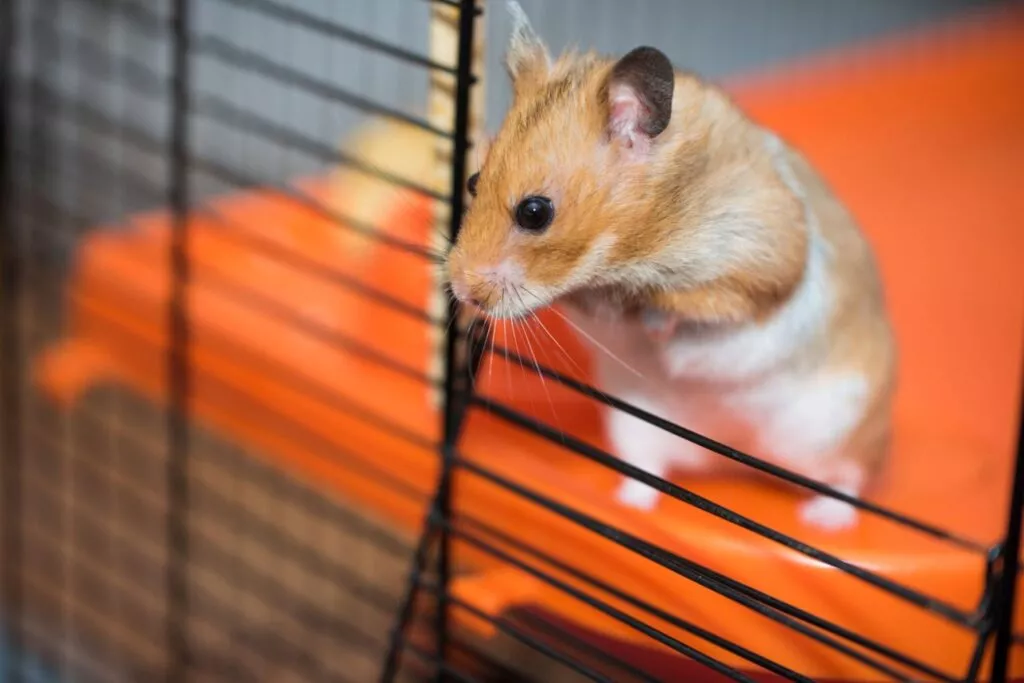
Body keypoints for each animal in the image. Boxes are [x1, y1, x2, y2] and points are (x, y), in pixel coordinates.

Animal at [446, 1, 896, 531]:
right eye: (473, 181)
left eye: (534, 212)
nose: (460, 290)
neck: (635, 251)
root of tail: (729, 460)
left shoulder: (762, 257)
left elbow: (704, 306)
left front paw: (656, 324)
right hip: (635, 426)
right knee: (648, 473)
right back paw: (626, 505)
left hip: (837, 426)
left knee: (849, 478)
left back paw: (823, 521)